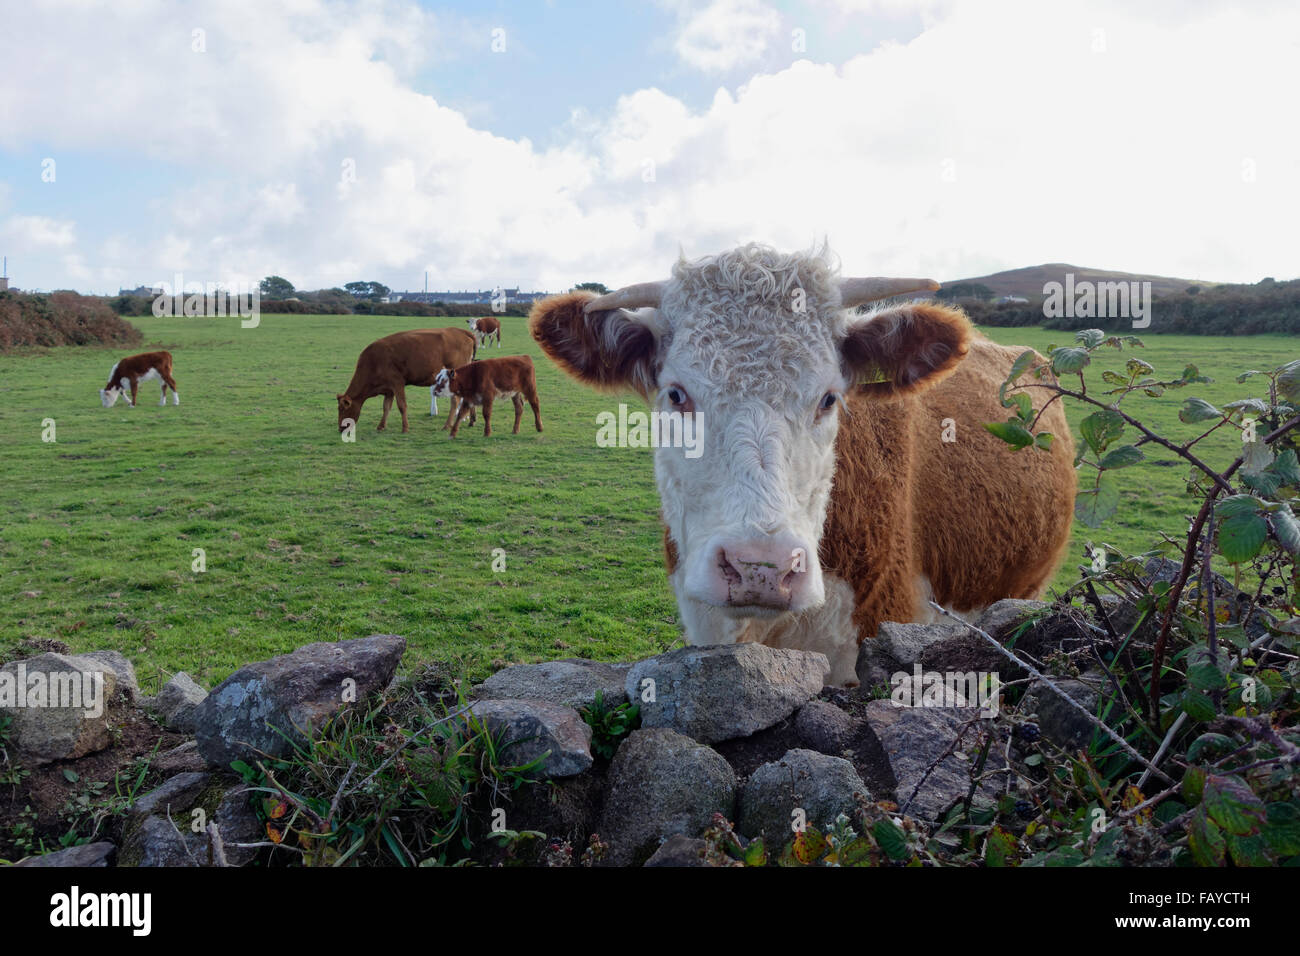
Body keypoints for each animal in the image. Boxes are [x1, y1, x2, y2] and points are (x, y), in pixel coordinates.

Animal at [336, 327, 476, 434]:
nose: (340, 428)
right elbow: (386, 407)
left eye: (342, 409)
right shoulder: (388, 389)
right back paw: (471, 421)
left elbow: (402, 406)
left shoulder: (397, 383)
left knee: (455, 401)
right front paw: (381, 426)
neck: (373, 362)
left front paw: (405, 428)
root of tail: (459, 331)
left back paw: (447, 425)